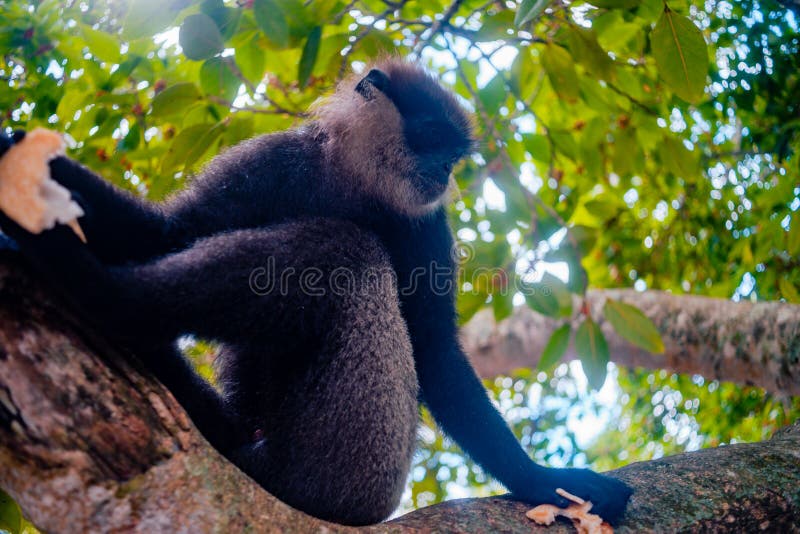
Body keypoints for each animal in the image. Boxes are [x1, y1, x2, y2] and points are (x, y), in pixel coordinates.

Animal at [0, 59, 632, 526]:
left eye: (454, 157)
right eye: (429, 139)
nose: (444, 173)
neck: (352, 184)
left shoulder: (425, 222)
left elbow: (435, 352)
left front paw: (539, 480)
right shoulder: (270, 162)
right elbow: (166, 234)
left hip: (344, 470)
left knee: (348, 252)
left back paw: (103, 295)